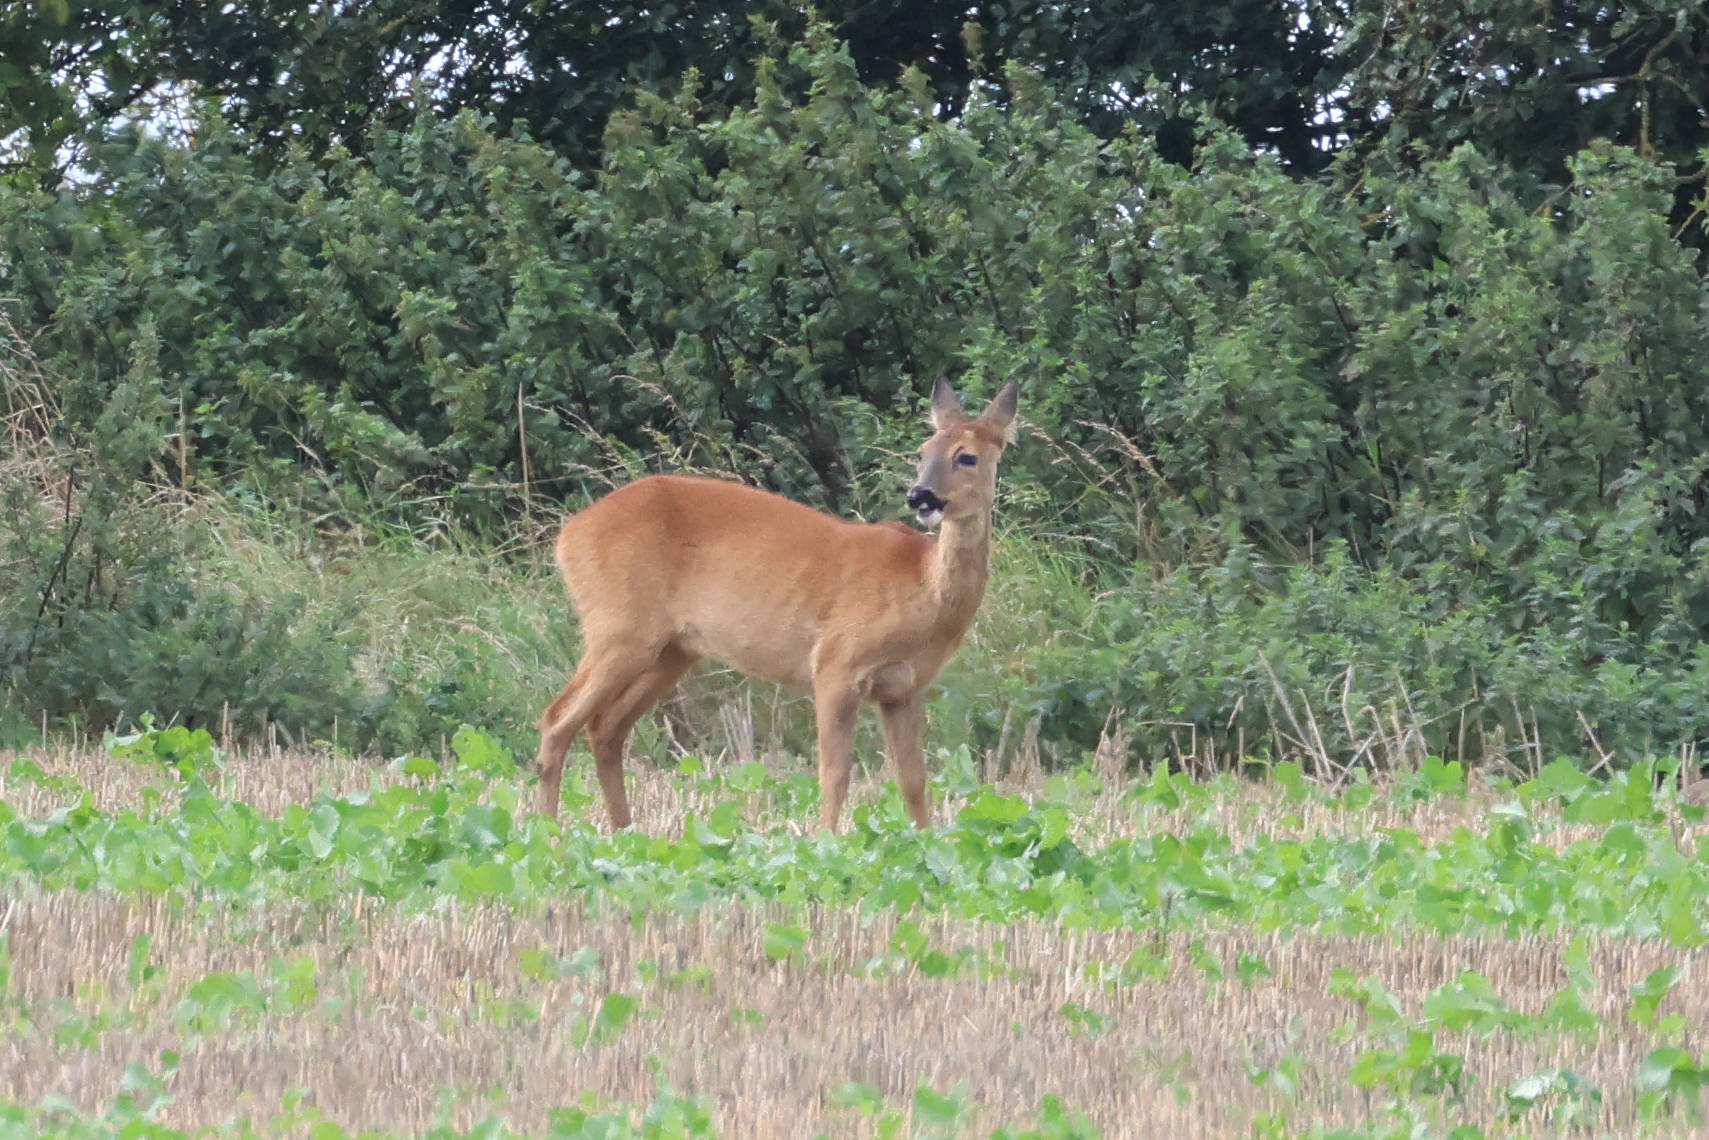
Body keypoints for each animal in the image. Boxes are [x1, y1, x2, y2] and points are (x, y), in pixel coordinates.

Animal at [533, 377, 1019, 832]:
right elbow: (834, 774)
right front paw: (826, 844)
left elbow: (913, 780)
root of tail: (567, 535)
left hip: (673, 649)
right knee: (556, 719)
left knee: (604, 728)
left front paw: (923, 844)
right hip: (619, 626)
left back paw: (623, 834)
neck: (920, 589)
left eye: (967, 456)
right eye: (923, 450)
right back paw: (552, 838)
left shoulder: (904, 688)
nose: (919, 496)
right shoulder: (835, 663)